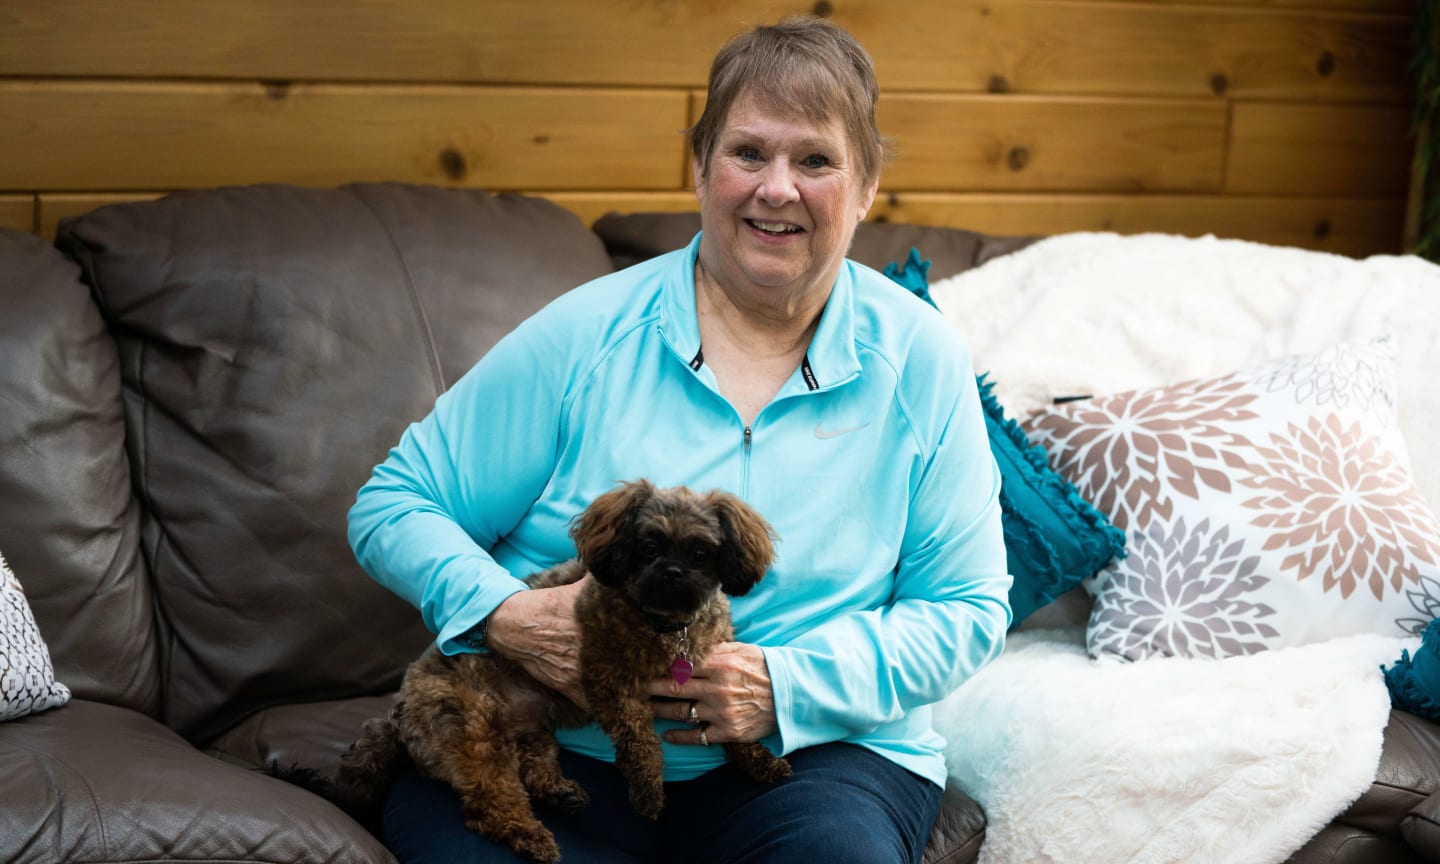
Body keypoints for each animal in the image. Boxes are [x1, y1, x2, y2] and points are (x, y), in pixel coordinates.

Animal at [289, 483, 789, 858]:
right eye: (648, 546)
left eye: (702, 554)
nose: (672, 573)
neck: (668, 625)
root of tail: (399, 709)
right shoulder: (611, 682)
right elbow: (641, 742)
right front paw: (648, 791)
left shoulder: (709, 681)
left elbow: (728, 728)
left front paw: (759, 761)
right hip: (476, 732)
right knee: (490, 803)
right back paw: (531, 837)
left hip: (532, 727)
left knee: (533, 765)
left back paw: (558, 794)